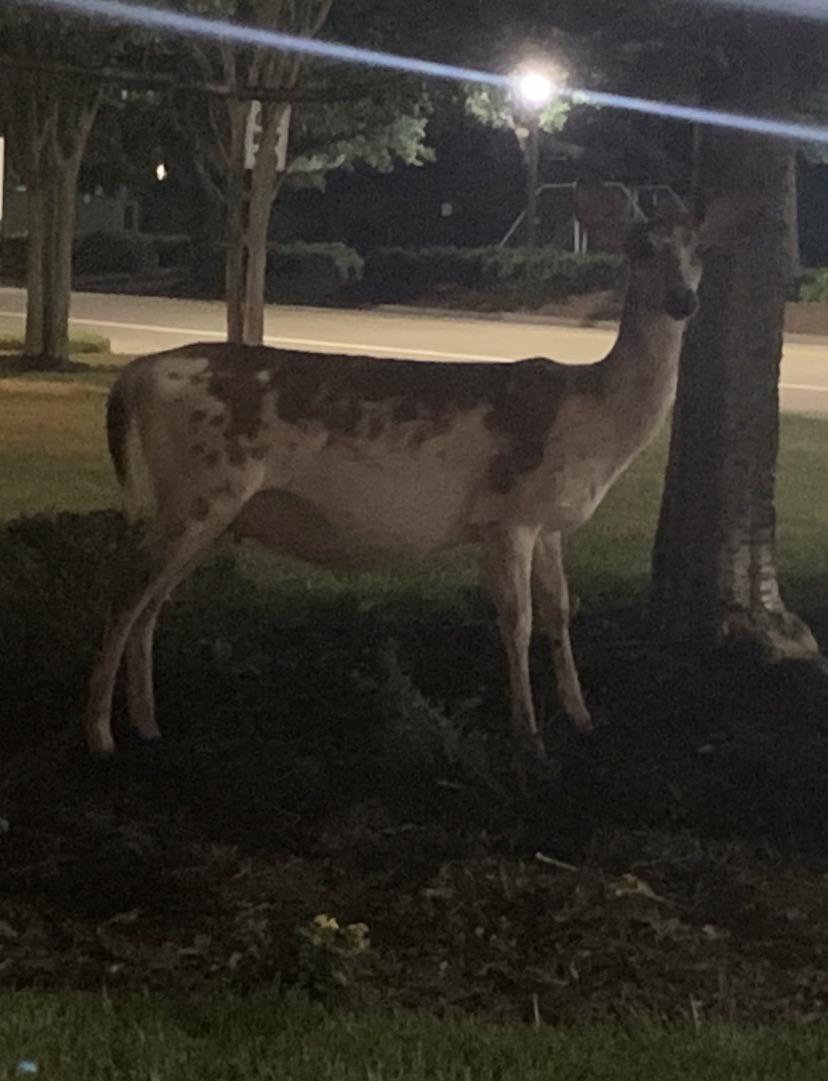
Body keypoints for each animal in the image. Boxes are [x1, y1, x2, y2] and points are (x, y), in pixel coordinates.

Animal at [84, 206, 735, 765]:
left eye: (700, 248)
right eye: (642, 247)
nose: (684, 300)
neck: (592, 423)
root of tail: (135, 374)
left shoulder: (551, 521)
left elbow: (560, 612)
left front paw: (582, 717)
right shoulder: (508, 512)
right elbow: (518, 619)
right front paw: (528, 735)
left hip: (206, 507)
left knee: (152, 603)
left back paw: (148, 725)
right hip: (201, 486)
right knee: (124, 592)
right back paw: (99, 735)